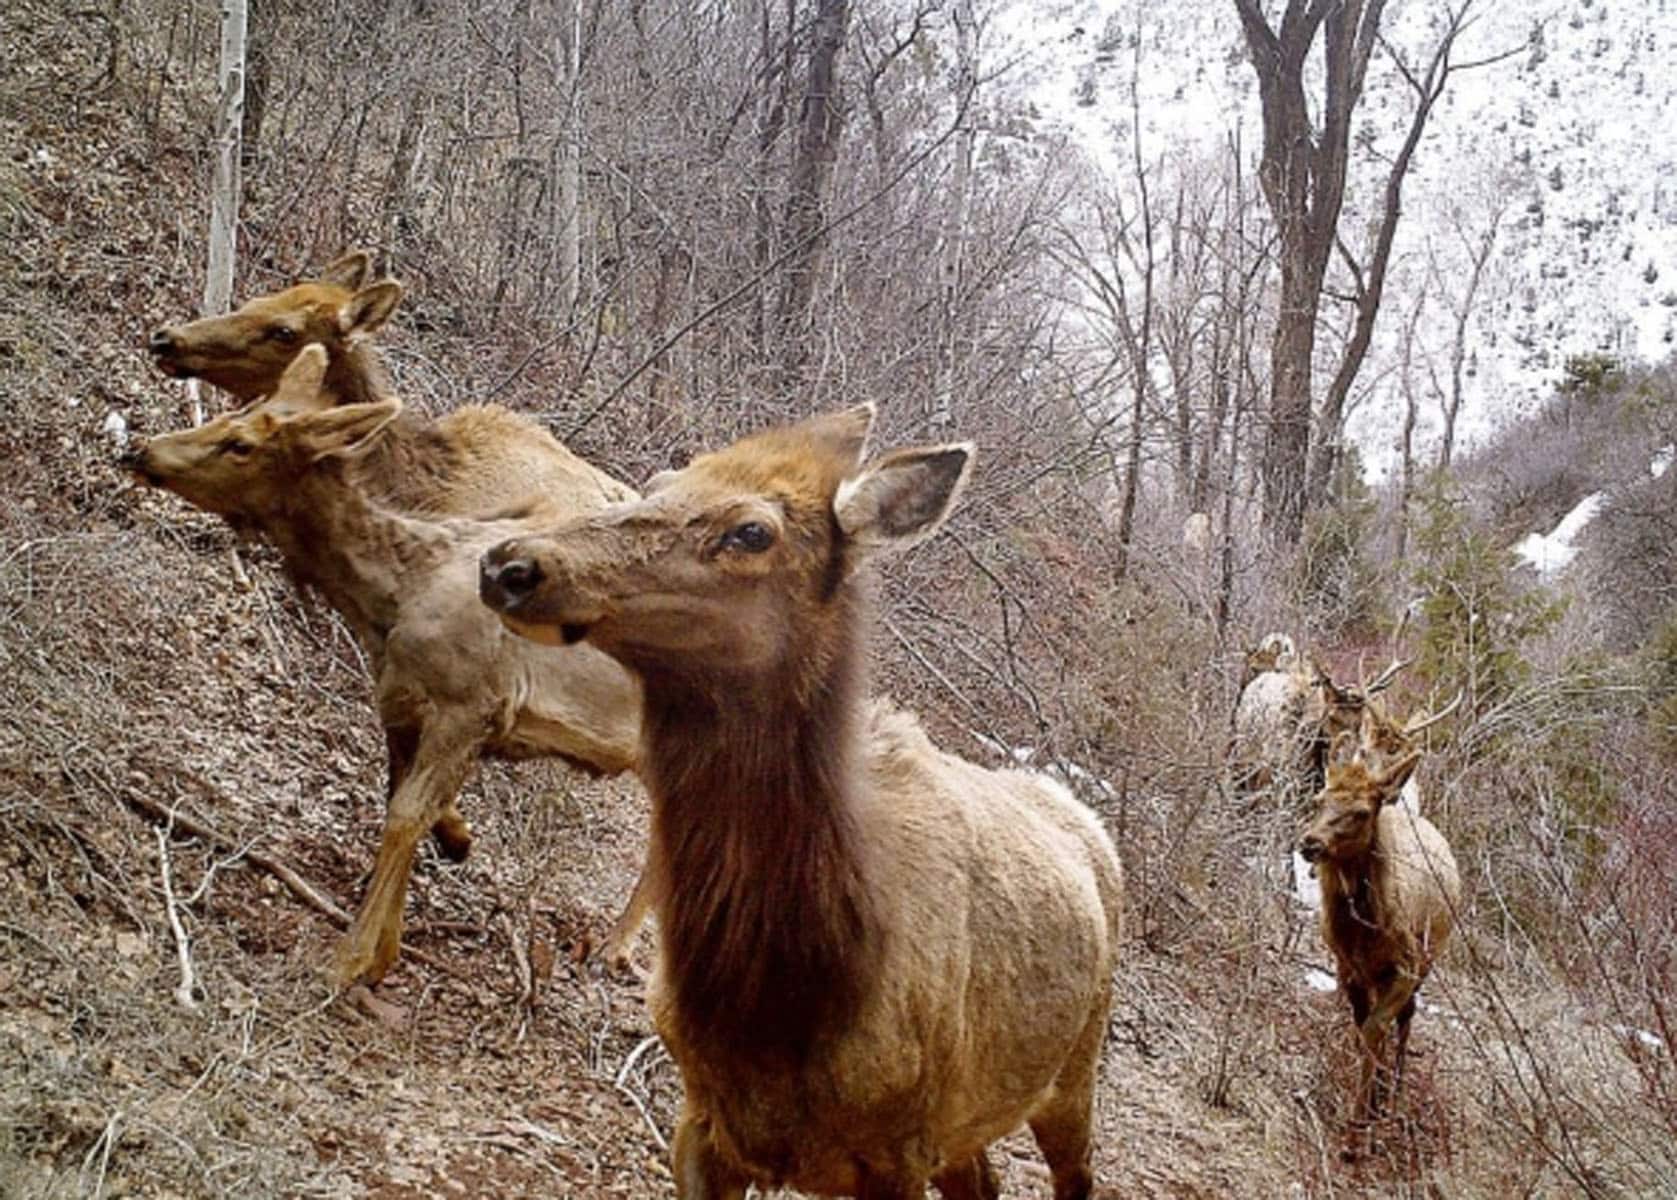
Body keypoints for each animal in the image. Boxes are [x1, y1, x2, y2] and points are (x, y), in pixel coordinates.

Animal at [123, 347, 650, 989]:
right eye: (236, 411)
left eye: (241, 443)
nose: (140, 451)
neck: (395, 595)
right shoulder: (401, 701)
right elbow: (400, 805)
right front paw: (384, 949)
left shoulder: (471, 705)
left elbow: (406, 815)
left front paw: (349, 960)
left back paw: (622, 954)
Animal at [478, 406, 1124, 1198]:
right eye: (660, 481)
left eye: (752, 532)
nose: (510, 564)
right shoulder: (704, 1118)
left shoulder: (896, 1146)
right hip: (967, 1118)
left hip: (1074, 1069)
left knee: (1079, 1172)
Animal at [1299, 736, 1460, 1142]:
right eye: (1319, 799)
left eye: (1360, 812)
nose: (1310, 843)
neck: (1367, 928)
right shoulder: (1347, 968)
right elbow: (1362, 1025)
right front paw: (1367, 1105)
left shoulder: (1405, 967)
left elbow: (1375, 1027)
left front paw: (1358, 1127)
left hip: (1428, 958)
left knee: (1407, 1014)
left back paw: (1394, 1090)